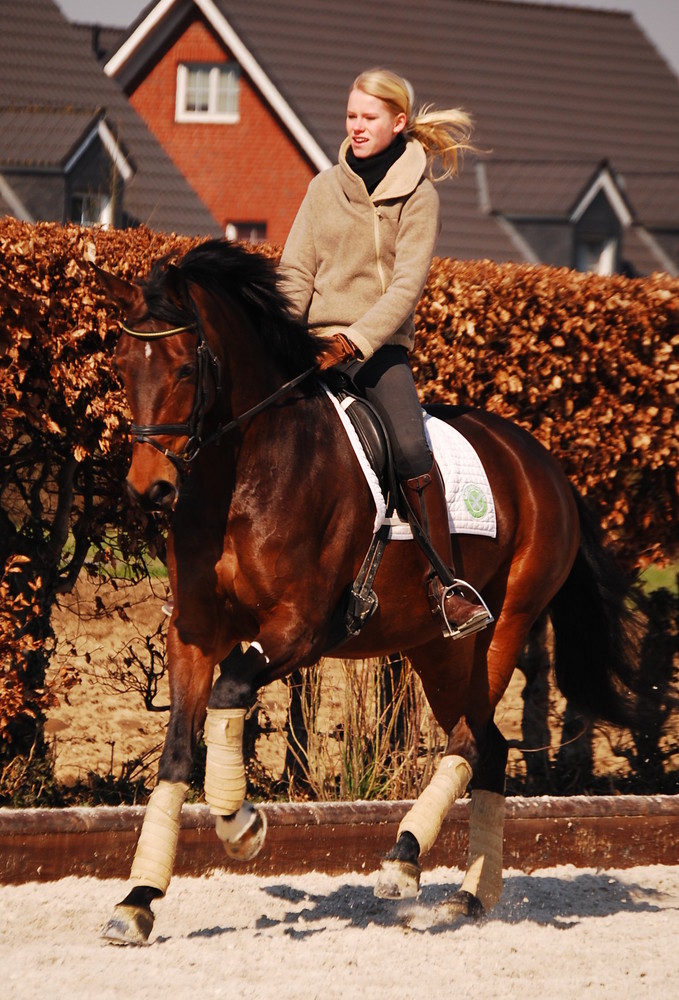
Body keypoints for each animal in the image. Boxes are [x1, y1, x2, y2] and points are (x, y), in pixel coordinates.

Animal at [94, 238, 636, 940]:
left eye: (187, 369)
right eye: (122, 366)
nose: (149, 488)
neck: (242, 473)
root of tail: (541, 461)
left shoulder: (299, 630)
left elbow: (231, 691)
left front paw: (241, 824)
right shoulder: (194, 632)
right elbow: (177, 753)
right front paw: (137, 901)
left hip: (505, 623)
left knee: (470, 739)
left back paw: (402, 860)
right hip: (439, 649)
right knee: (486, 748)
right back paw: (467, 896)